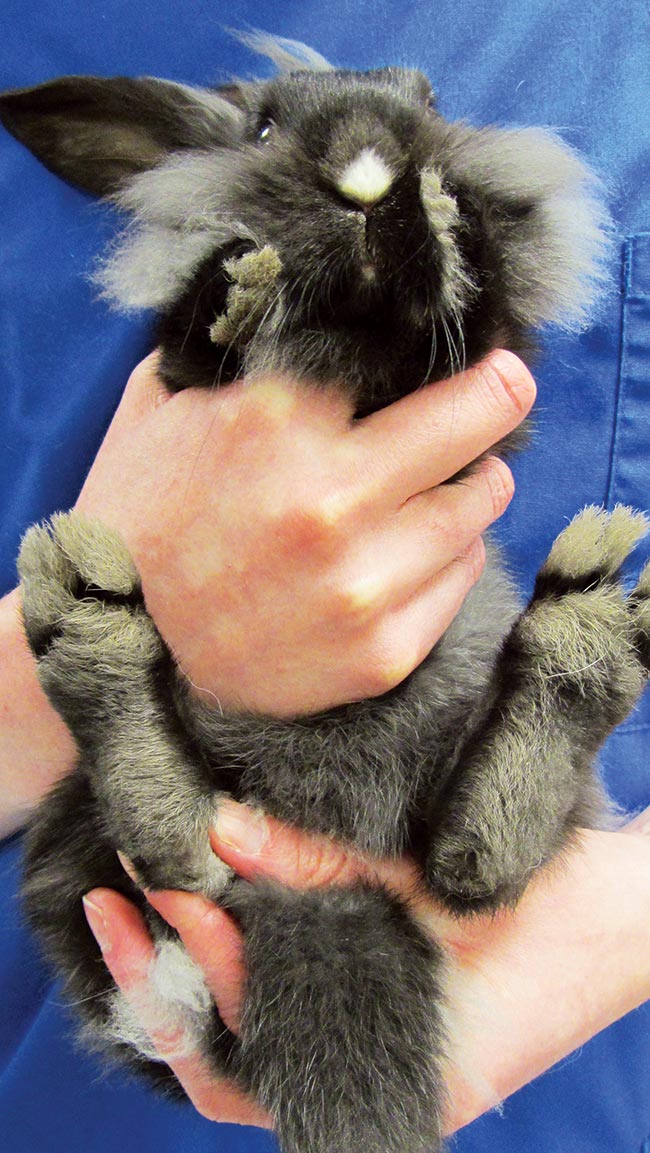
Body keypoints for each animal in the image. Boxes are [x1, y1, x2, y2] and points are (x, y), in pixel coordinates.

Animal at [2, 32, 650, 1153]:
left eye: (428, 101)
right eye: (265, 125)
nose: (370, 169)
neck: (357, 336)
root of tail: (326, 884)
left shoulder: (473, 390)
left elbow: (473, 315)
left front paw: (439, 227)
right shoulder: (185, 374)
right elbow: (194, 347)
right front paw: (231, 289)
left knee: (471, 866)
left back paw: (578, 650)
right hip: (82, 837)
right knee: (176, 858)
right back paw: (102, 656)